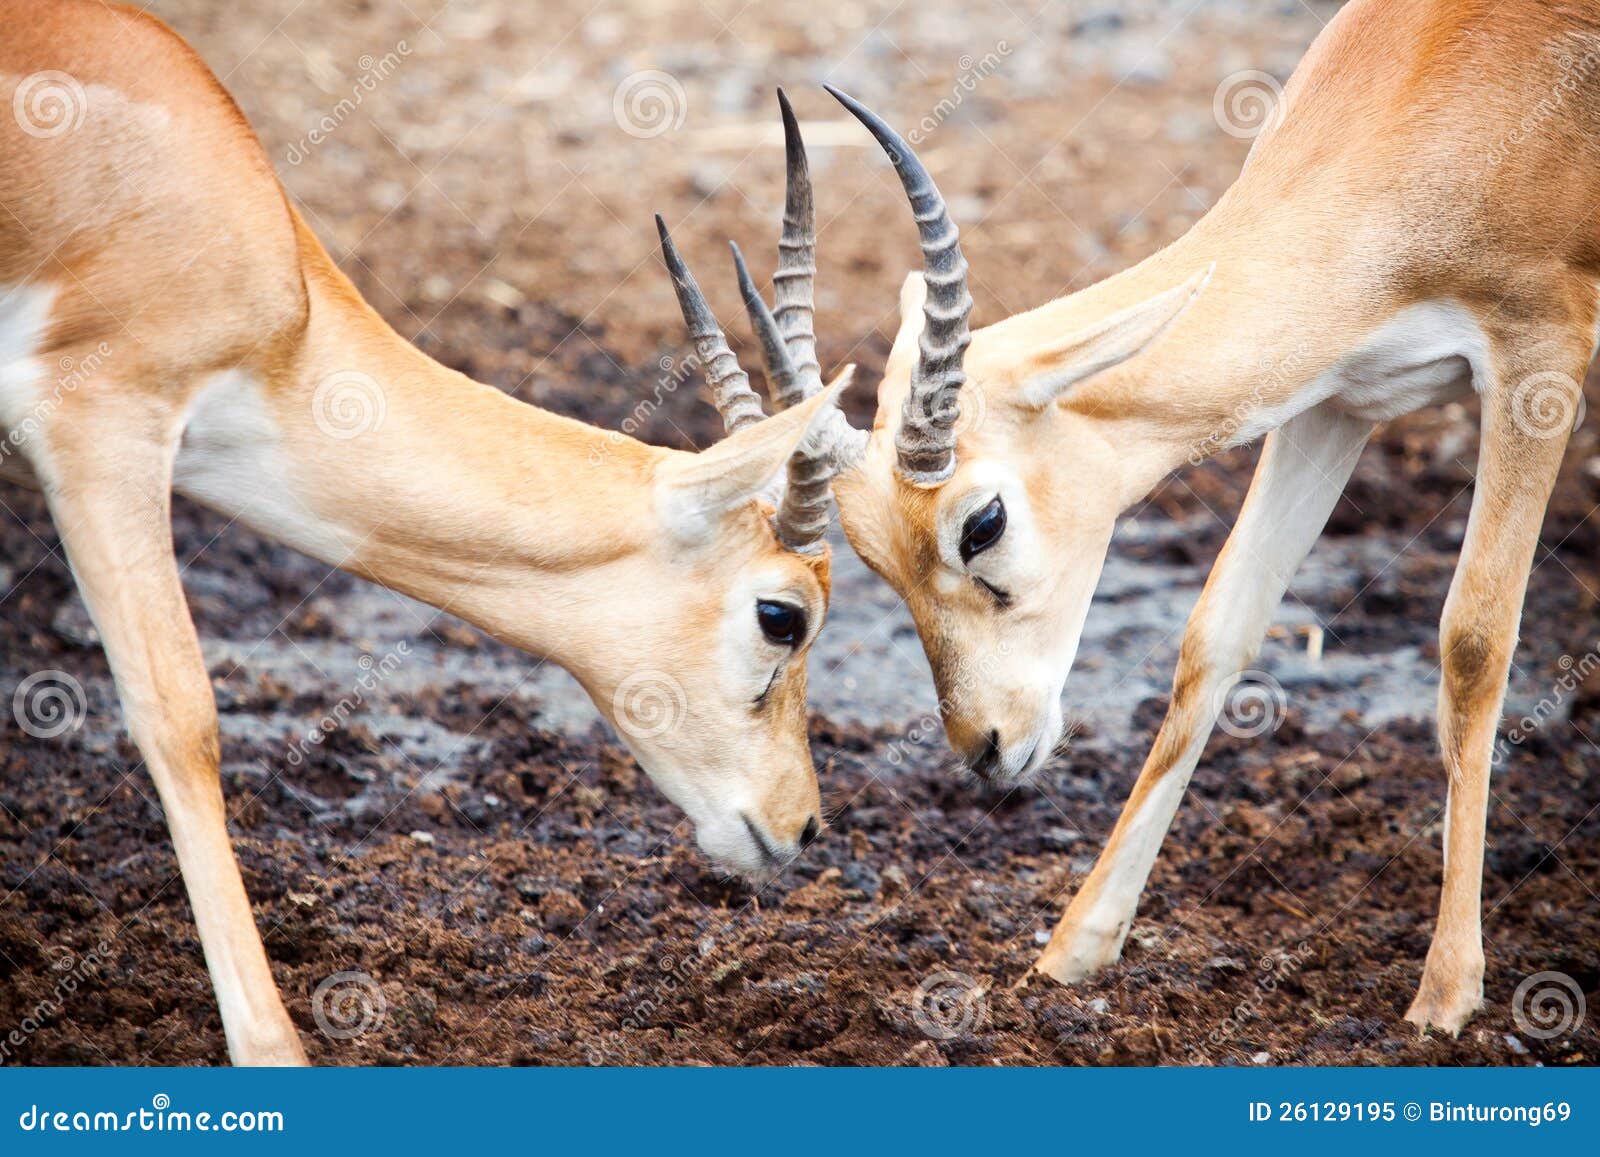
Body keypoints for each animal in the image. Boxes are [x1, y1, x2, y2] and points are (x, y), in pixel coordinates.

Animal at [771, 0, 1600, 1034]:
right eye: (874, 559)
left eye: (982, 521)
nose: (986, 749)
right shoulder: (1337, 393)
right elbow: (1218, 630)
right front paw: (1071, 951)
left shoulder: (1541, 359)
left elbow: (1476, 642)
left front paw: (1446, 994)